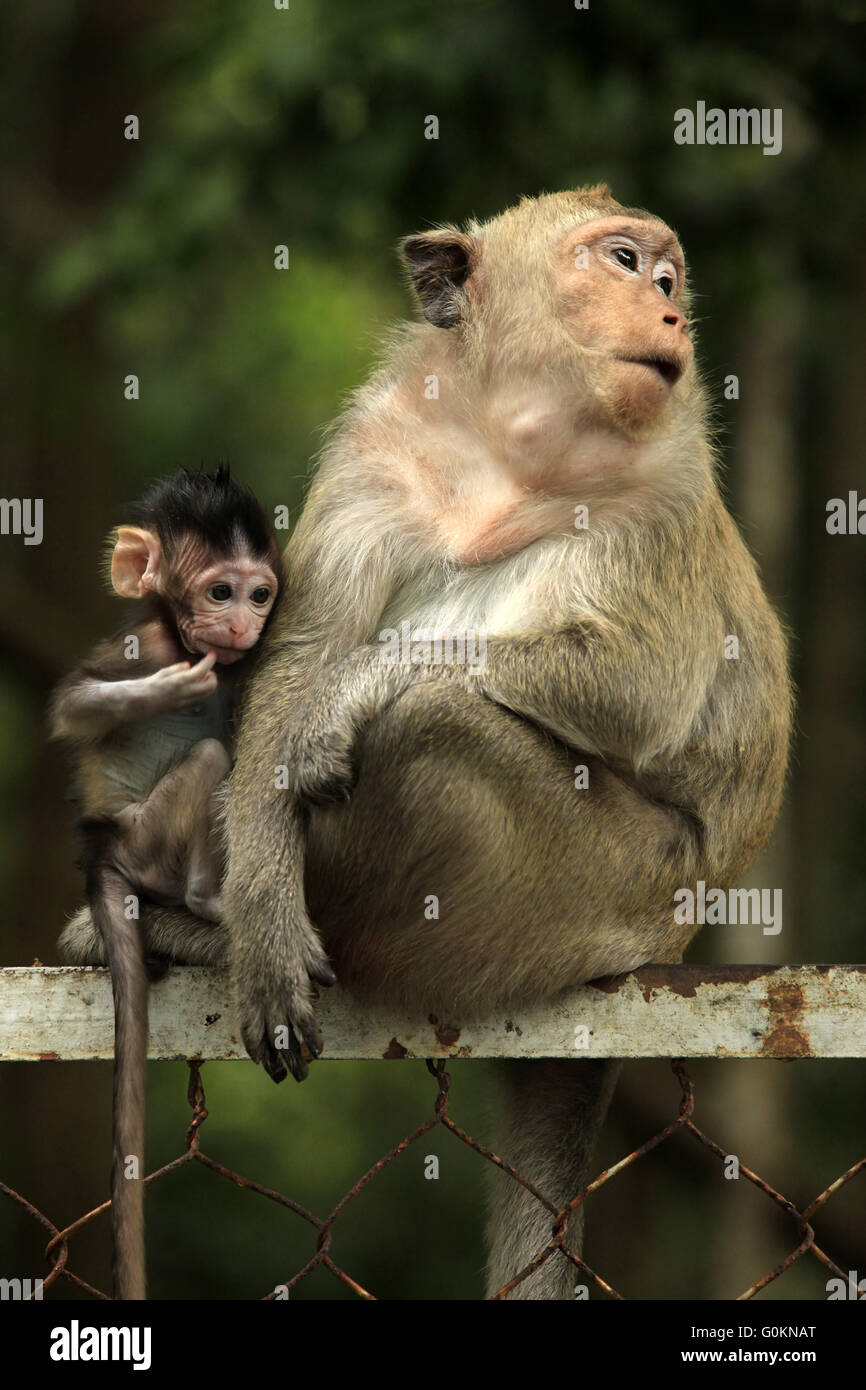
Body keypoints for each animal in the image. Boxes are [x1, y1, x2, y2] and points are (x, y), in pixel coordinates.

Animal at [51, 466, 281, 1300]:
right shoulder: (141, 645)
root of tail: (102, 850)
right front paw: (165, 693)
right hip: (145, 840)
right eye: (220, 592)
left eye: (260, 594)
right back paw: (213, 900)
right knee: (212, 758)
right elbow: (73, 706)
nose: (242, 625)